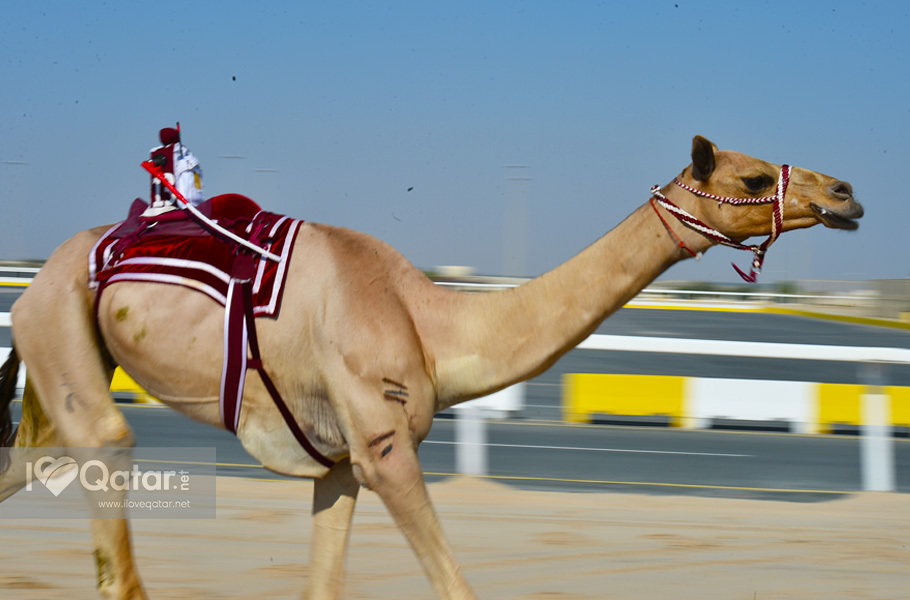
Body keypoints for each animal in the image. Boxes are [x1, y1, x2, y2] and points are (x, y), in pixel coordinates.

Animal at [0, 135, 863, 599]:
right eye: (752, 178)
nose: (846, 193)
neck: (431, 322)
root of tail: (44, 275)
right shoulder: (385, 450)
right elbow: (455, 583)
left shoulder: (339, 464)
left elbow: (324, 582)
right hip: (61, 329)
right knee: (107, 457)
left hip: (53, 361)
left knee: (26, 458)